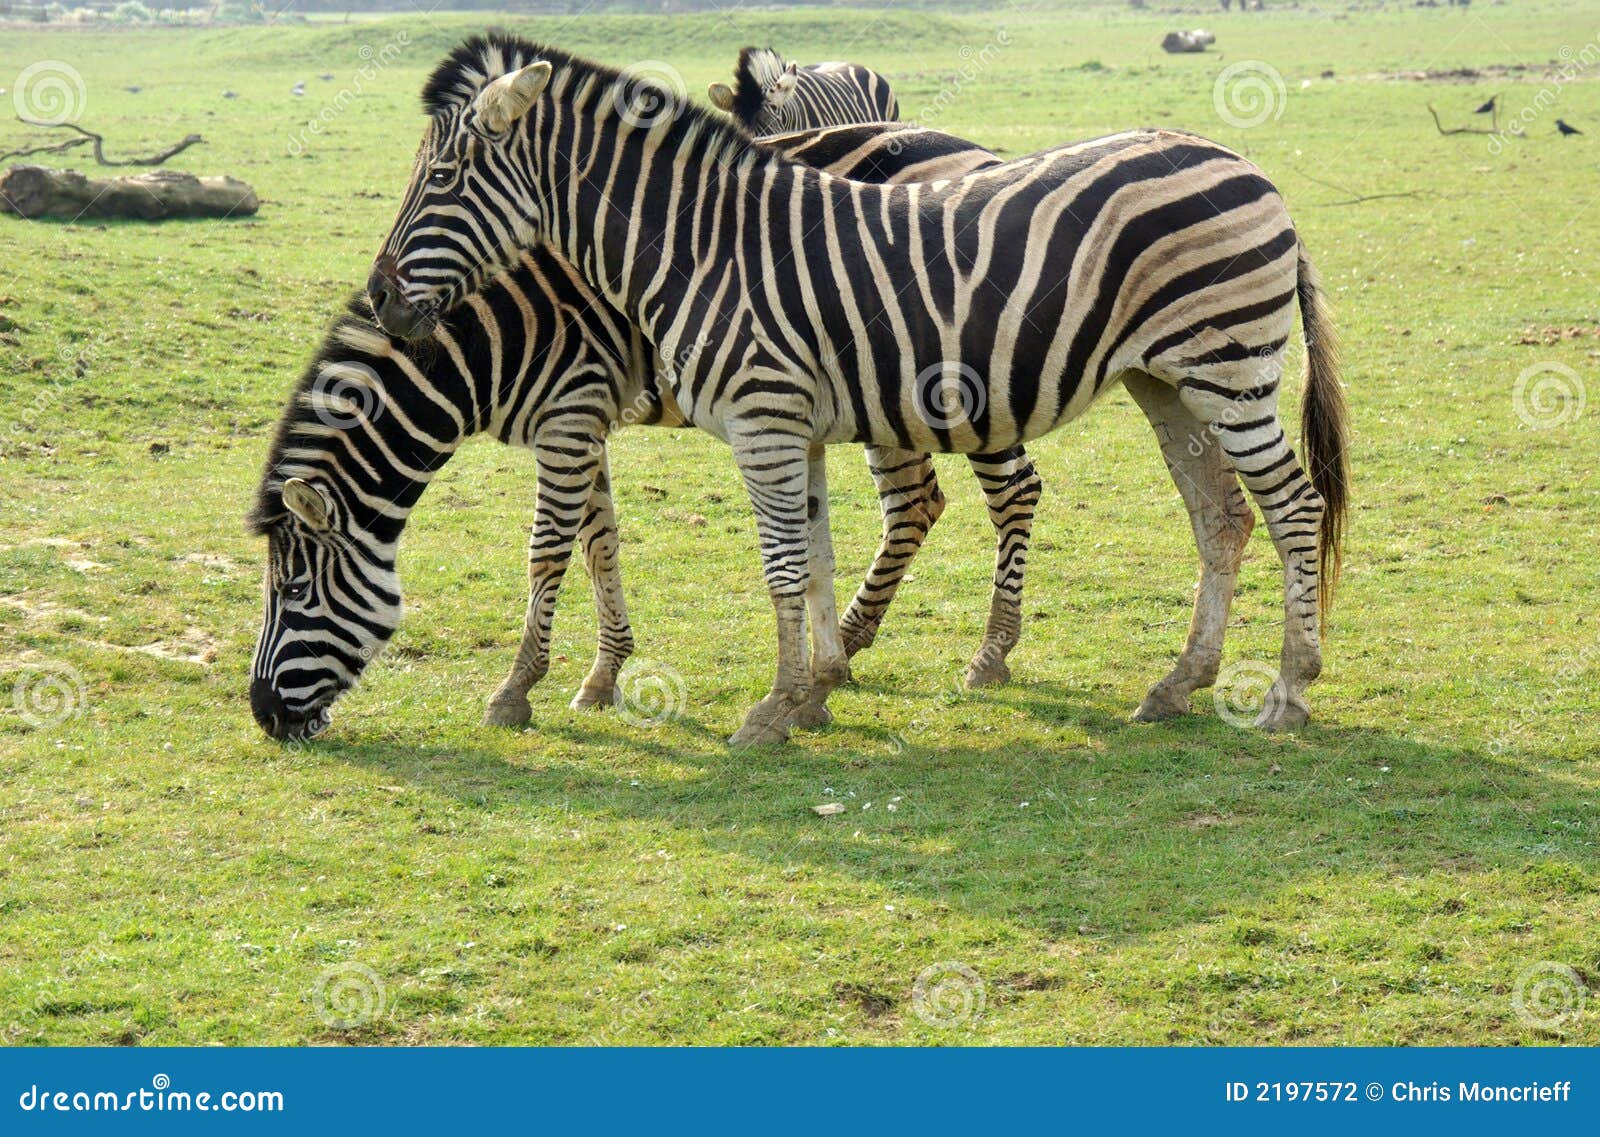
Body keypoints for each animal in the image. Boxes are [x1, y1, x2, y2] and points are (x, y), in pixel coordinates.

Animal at [249, 119, 1034, 741]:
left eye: (294, 592)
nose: (263, 715)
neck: (491, 336)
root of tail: (976, 151)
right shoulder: (577, 416)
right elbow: (598, 543)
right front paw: (603, 674)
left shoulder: (569, 414)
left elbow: (548, 552)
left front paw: (514, 691)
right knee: (917, 503)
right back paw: (844, 646)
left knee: (1012, 492)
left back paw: (987, 655)